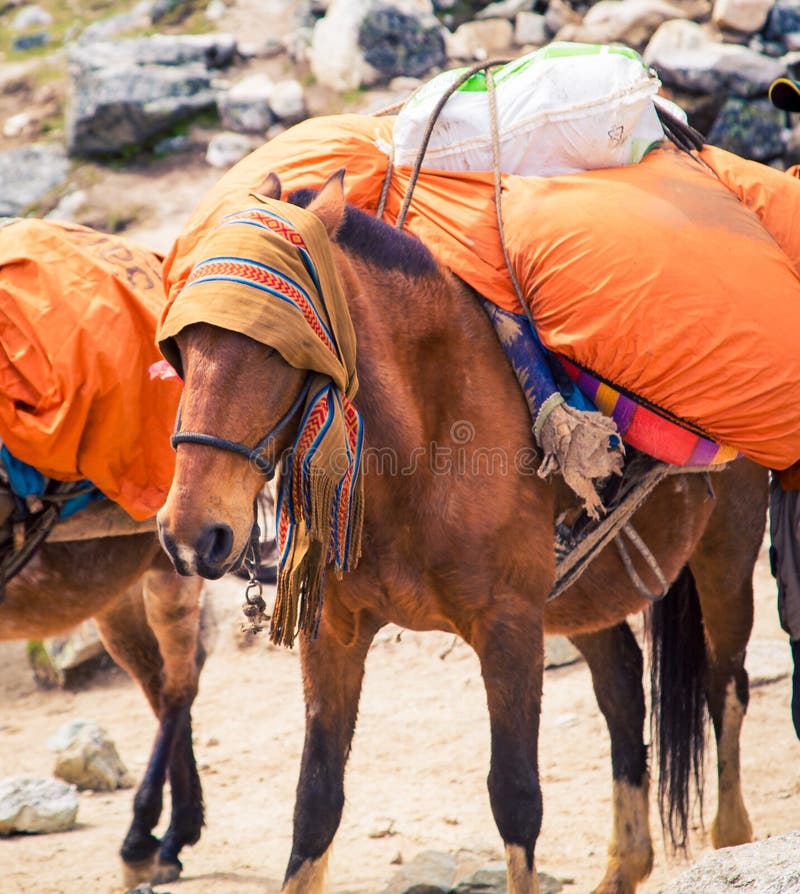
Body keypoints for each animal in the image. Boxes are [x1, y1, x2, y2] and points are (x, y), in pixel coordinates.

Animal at [156, 173, 768, 894]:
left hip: (727, 551)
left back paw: (732, 839)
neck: (421, 445)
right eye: (182, 352)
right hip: (578, 595)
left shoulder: (508, 626)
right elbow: (315, 803)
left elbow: (517, 799)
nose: (190, 533)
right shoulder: (333, 631)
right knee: (623, 687)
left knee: (725, 687)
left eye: (276, 352)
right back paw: (626, 863)